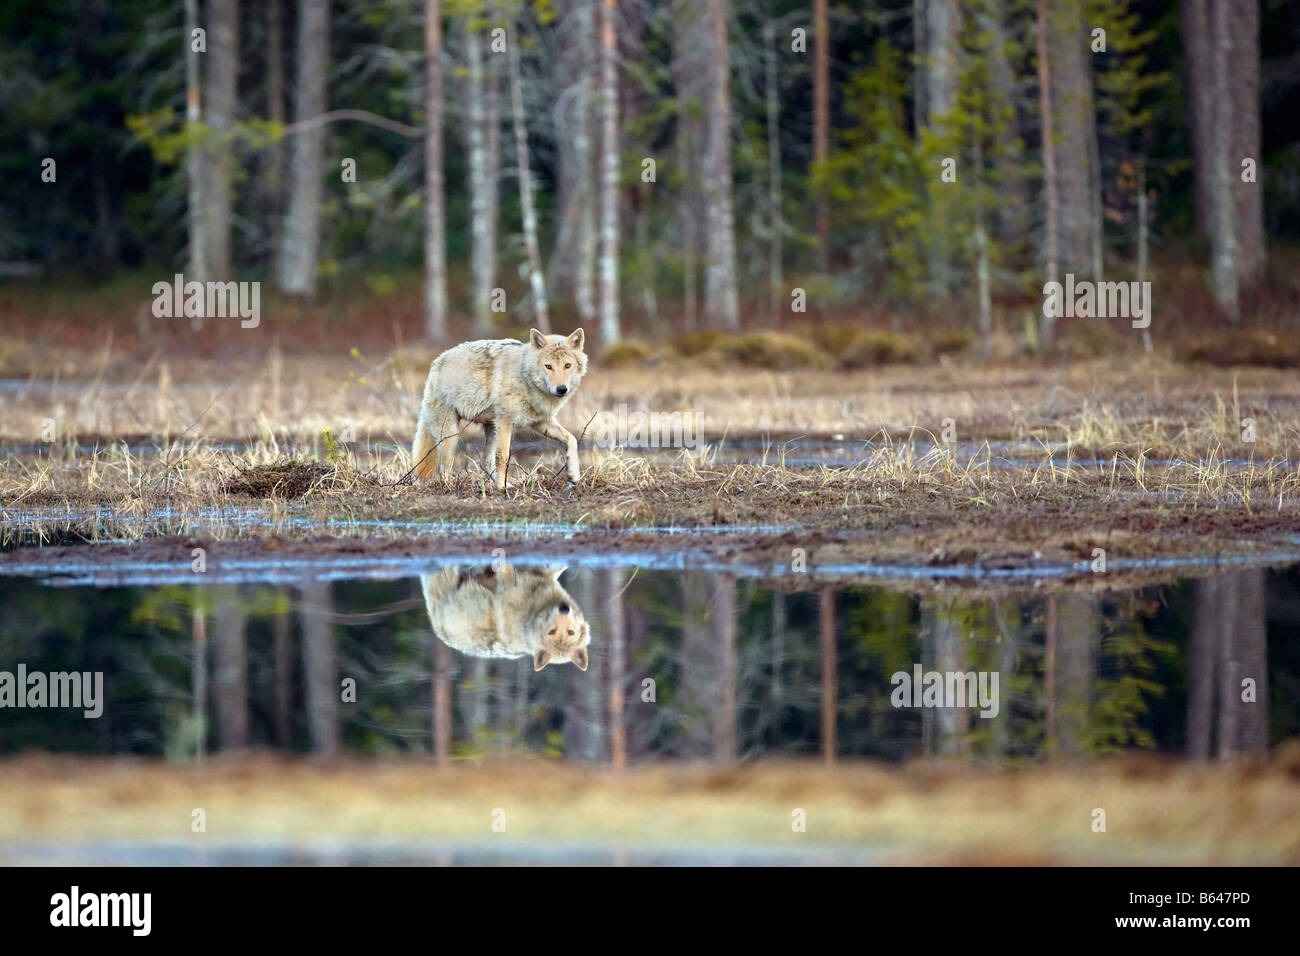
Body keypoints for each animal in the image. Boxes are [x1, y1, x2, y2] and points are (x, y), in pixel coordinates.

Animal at [410, 330, 590, 494]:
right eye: (548, 366)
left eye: (567, 365)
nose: (561, 389)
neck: (525, 379)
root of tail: (436, 362)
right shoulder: (506, 422)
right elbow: (503, 456)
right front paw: (500, 489)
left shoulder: (541, 422)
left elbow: (572, 439)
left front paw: (574, 475)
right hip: (451, 436)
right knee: (444, 470)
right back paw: (451, 489)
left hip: (490, 428)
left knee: (484, 462)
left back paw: (506, 484)